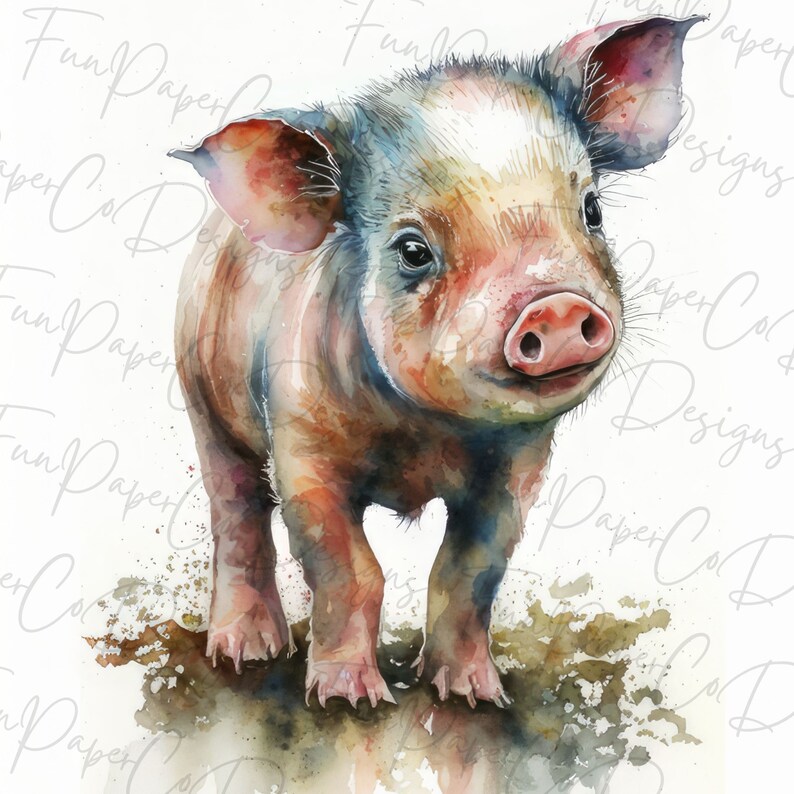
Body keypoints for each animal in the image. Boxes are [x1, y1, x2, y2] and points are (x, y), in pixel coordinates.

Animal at [171, 15, 701, 708]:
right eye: (413, 250)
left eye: (593, 210)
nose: (556, 308)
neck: (425, 432)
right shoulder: (301, 445)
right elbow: (349, 570)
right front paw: (348, 702)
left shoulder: (517, 468)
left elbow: (469, 571)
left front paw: (474, 697)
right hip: (201, 392)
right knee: (234, 507)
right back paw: (247, 654)